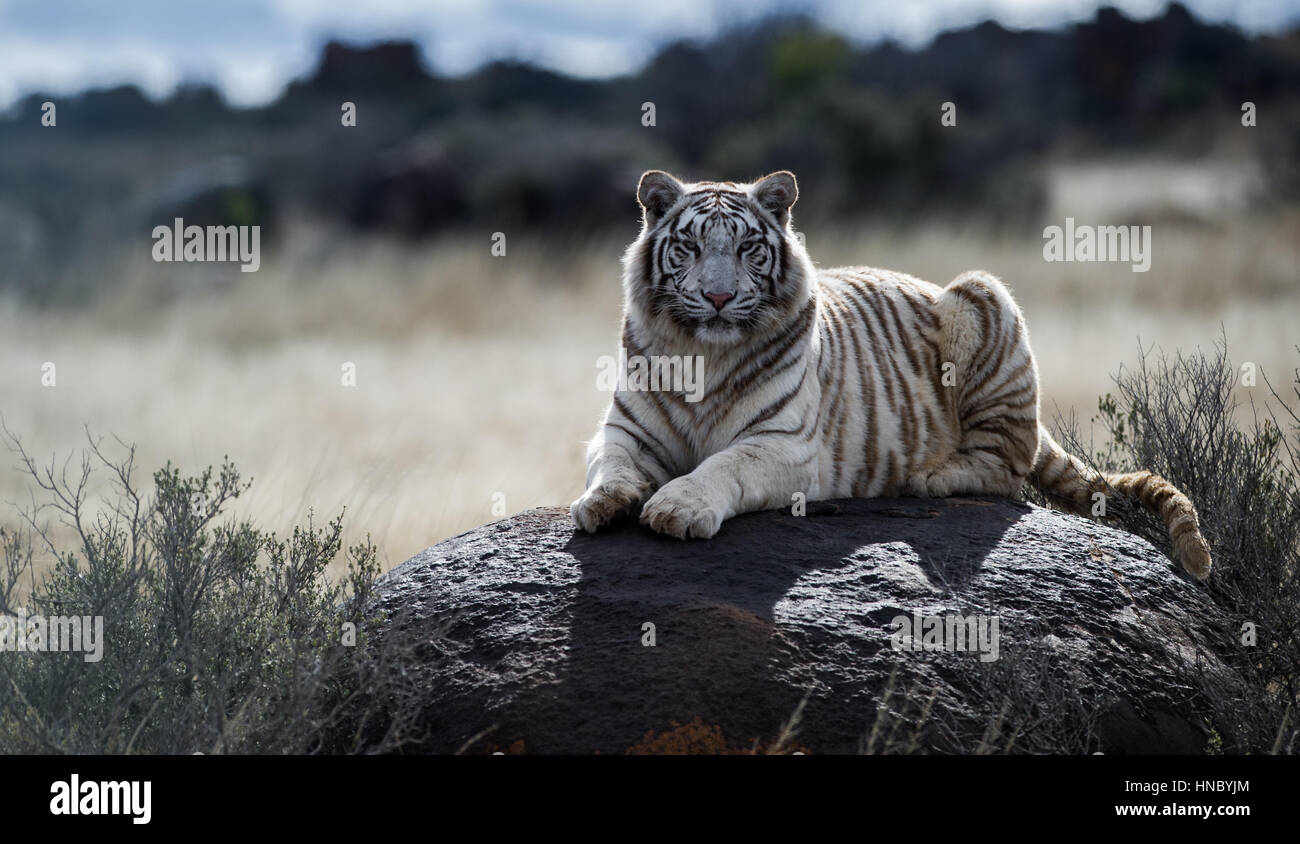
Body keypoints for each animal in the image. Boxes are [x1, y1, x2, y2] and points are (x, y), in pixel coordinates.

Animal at [570, 169, 1213, 581]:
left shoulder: (783, 445)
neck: (705, 354)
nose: (720, 297)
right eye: (691, 247)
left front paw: (677, 508)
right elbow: (613, 467)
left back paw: (932, 476)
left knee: (1007, 469)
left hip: (982, 292)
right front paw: (601, 503)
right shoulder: (626, 433)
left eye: (749, 247)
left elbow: (721, 465)